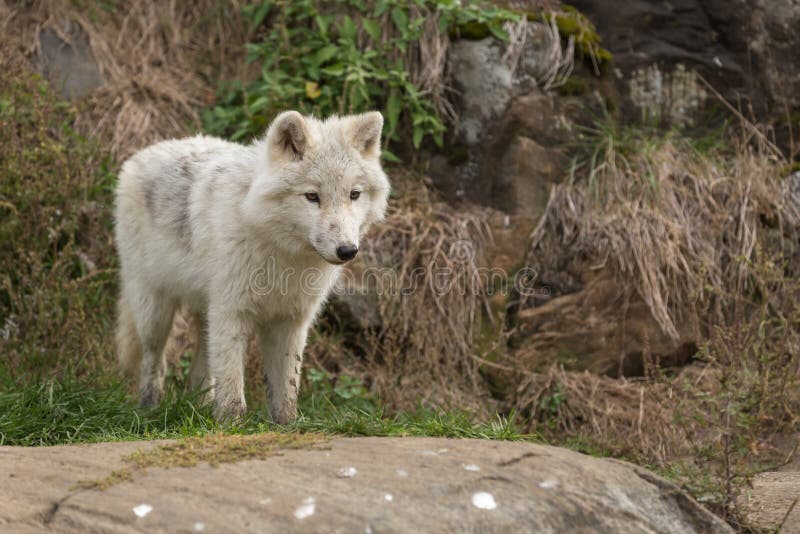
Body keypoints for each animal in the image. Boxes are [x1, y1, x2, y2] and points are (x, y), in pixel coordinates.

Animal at [114, 111, 389, 423]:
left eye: (354, 194)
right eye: (312, 196)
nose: (347, 250)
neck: (283, 257)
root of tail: (140, 155)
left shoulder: (290, 320)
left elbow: (285, 387)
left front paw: (286, 425)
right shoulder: (232, 312)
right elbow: (232, 384)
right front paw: (230, 425)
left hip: (205, 314)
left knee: (201, 368)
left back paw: (198, 408)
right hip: (155, 312)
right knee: (154, 360)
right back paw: (150, 409)